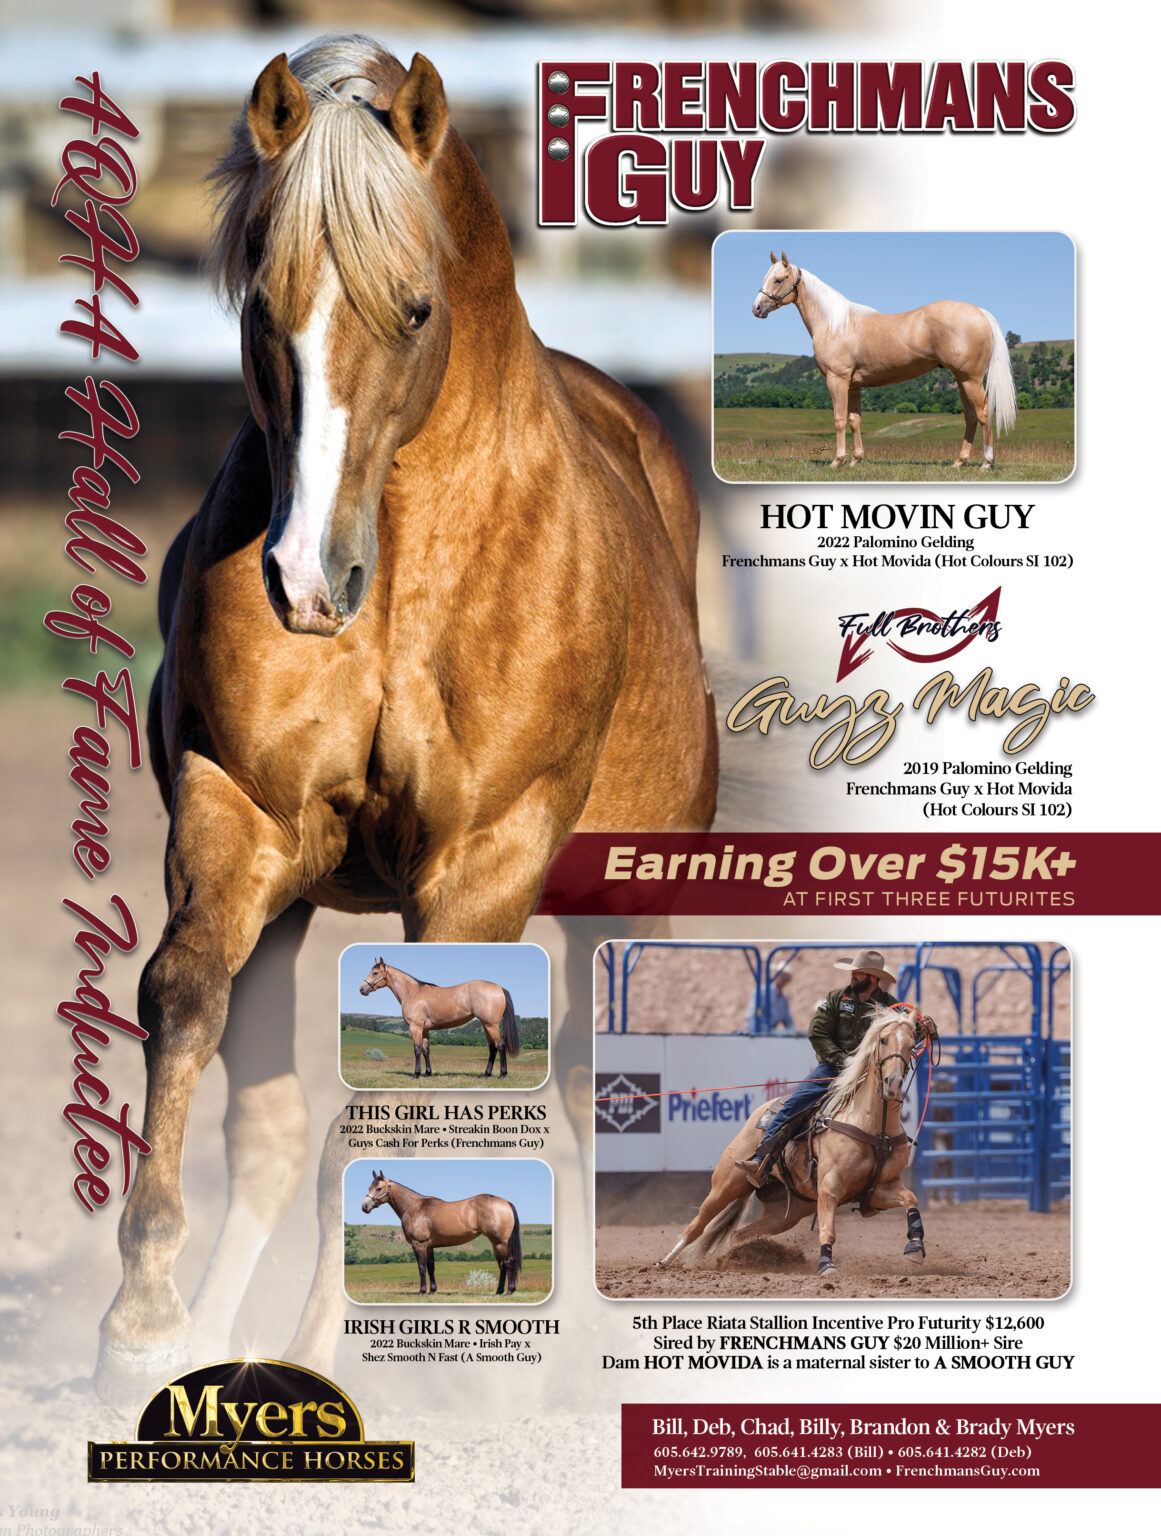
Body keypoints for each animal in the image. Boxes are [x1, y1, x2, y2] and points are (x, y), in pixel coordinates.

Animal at [358, 958, 520, 1077]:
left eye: (375, 973)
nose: (362, 989)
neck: (413, 993)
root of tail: (499, 988)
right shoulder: (424, 1029)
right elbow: (426, 1050)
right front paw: (428, 1073)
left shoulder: (415, 1027)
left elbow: (417, 1049)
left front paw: (416, 1074)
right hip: (486, 1025)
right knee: (492, 1047)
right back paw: (486, 1074)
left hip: (491, 1025)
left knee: (500, 1045)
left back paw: (502, 1074)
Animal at [360, 1173, 522, 1296]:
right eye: (369, 1187)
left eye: (379, 1188)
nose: (364, 1207)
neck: (414, 1208)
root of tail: (506, 1202)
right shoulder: (429, 1246)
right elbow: (431, 1267)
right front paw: (432, 1291)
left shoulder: (419, 1244)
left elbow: (421, 1267)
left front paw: (421, 1291)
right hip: (495, 1243)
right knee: (502, 1265)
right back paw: (499, 1291)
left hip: (500, 1242)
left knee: (508, 1262)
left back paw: (509, 1291)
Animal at [658, 1005, 930, 1277]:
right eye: (883, 1040)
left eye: (911, 1045)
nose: (893, 1084)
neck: (873, 1127)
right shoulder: (830, 1186)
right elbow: (828, 1229)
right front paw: (826, 1264)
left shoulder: (880, 1188)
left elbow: (911, 1199)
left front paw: (916, 1246)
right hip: (726, 1184)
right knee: (697, 1225)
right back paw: (664, 1262)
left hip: (787, 1212)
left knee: (740, 1234)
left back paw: (745, 1258)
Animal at [751, 251, 1017, 471]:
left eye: (778, 280)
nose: (756, 309)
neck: (835, 323)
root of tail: (980, 313)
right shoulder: (854, 385)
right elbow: (855, 420)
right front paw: (856, 460)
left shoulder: (837, 380)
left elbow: (839, 420)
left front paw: (838, 461)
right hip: (962, 380)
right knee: (970, 417)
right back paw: (959, 462)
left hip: (971, 379)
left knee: (984, 413)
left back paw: (986, 463)